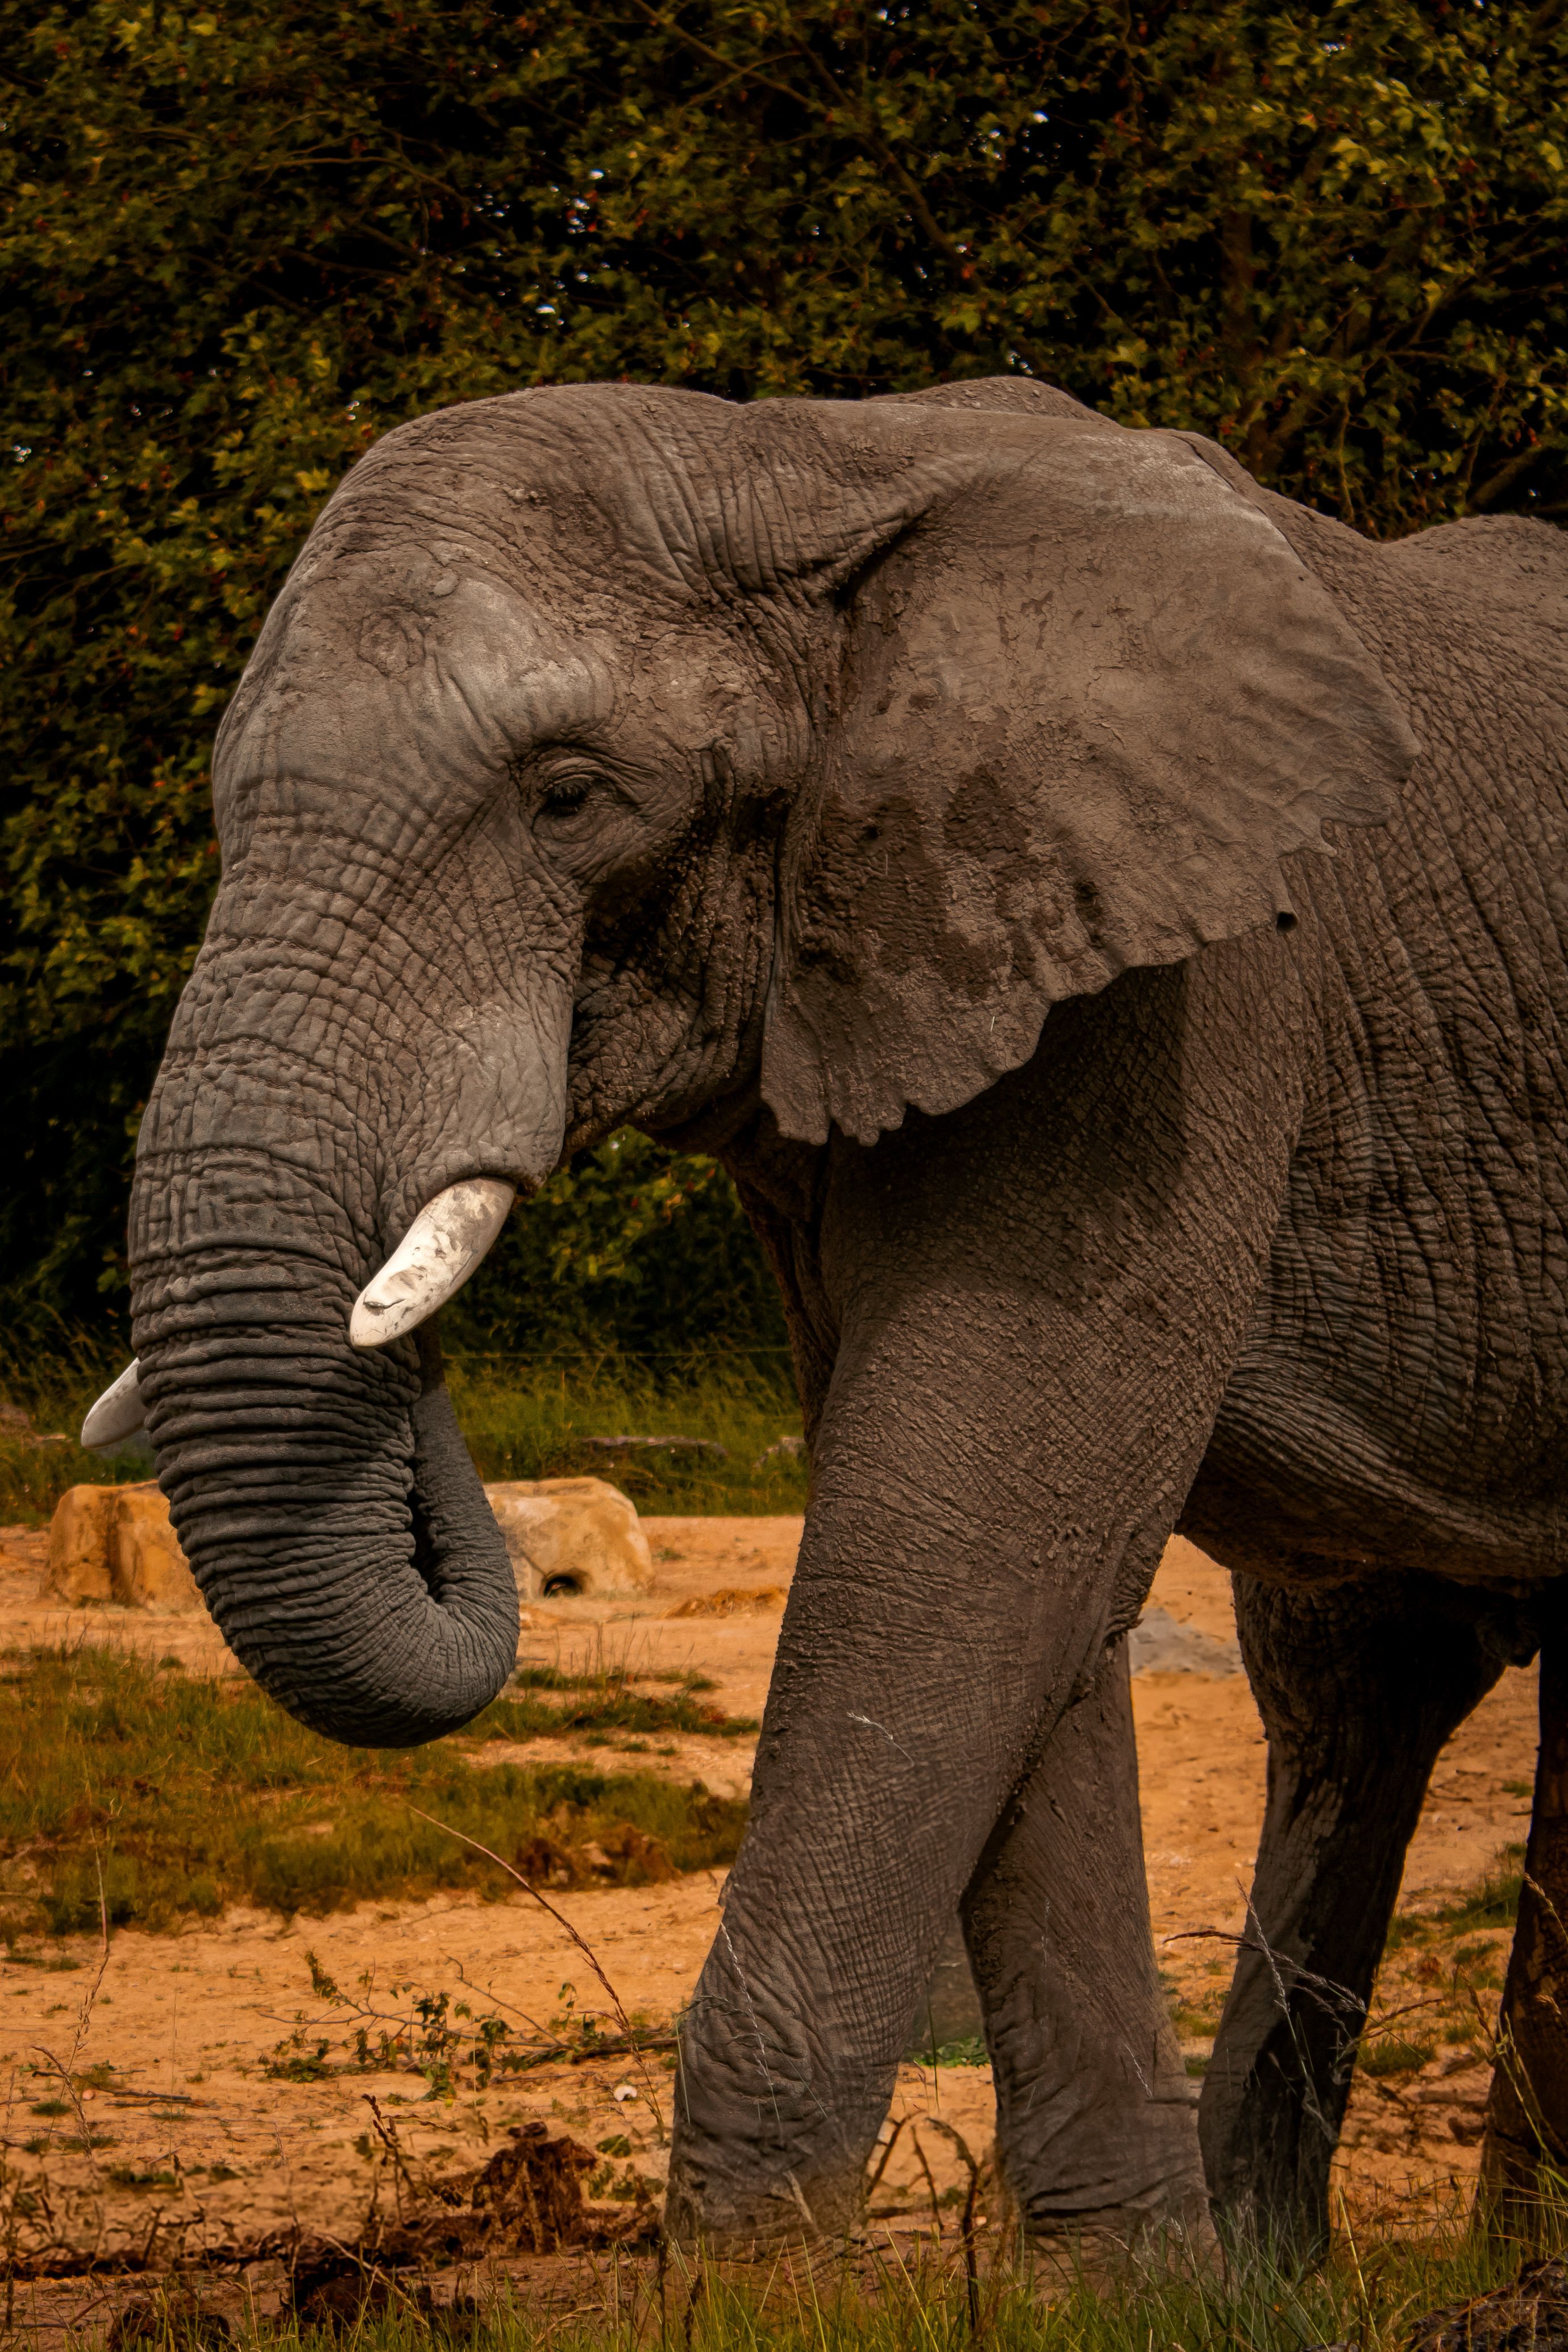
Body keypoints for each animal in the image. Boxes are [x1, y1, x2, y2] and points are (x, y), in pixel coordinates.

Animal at [101, 372, 1568, 2261]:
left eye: (567, 794)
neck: (799, 456)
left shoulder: (1181, 985)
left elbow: (956, 1540)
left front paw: (755, 2288)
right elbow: (1006, 1577)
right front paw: (1130, 2287)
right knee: (1356, 1683)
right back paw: (1319, 2268)